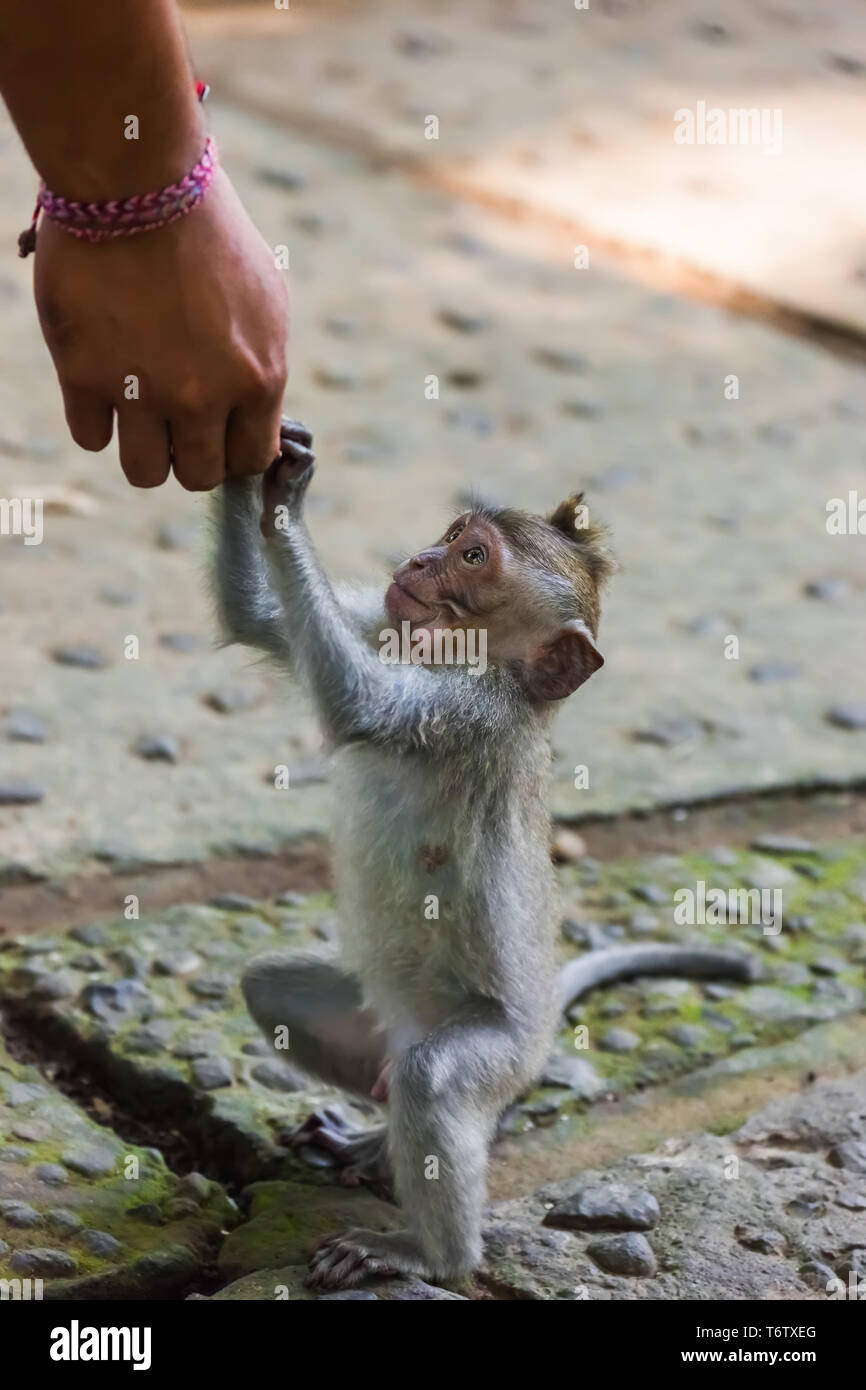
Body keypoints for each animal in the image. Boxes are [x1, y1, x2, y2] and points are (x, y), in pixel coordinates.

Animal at [212, 417, 756, 1290]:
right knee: (280, 993)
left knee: (434, 1082)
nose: (418, 560)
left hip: (494, 1053)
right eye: (452, 535)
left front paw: (289, 497)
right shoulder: (385, 623)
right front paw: (251, 450)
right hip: (376, 1024)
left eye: (472, 558)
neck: (471, 661)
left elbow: (360, 704)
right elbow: (258, 616)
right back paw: (377, 1140)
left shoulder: (467, 712)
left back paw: (429, 1257)